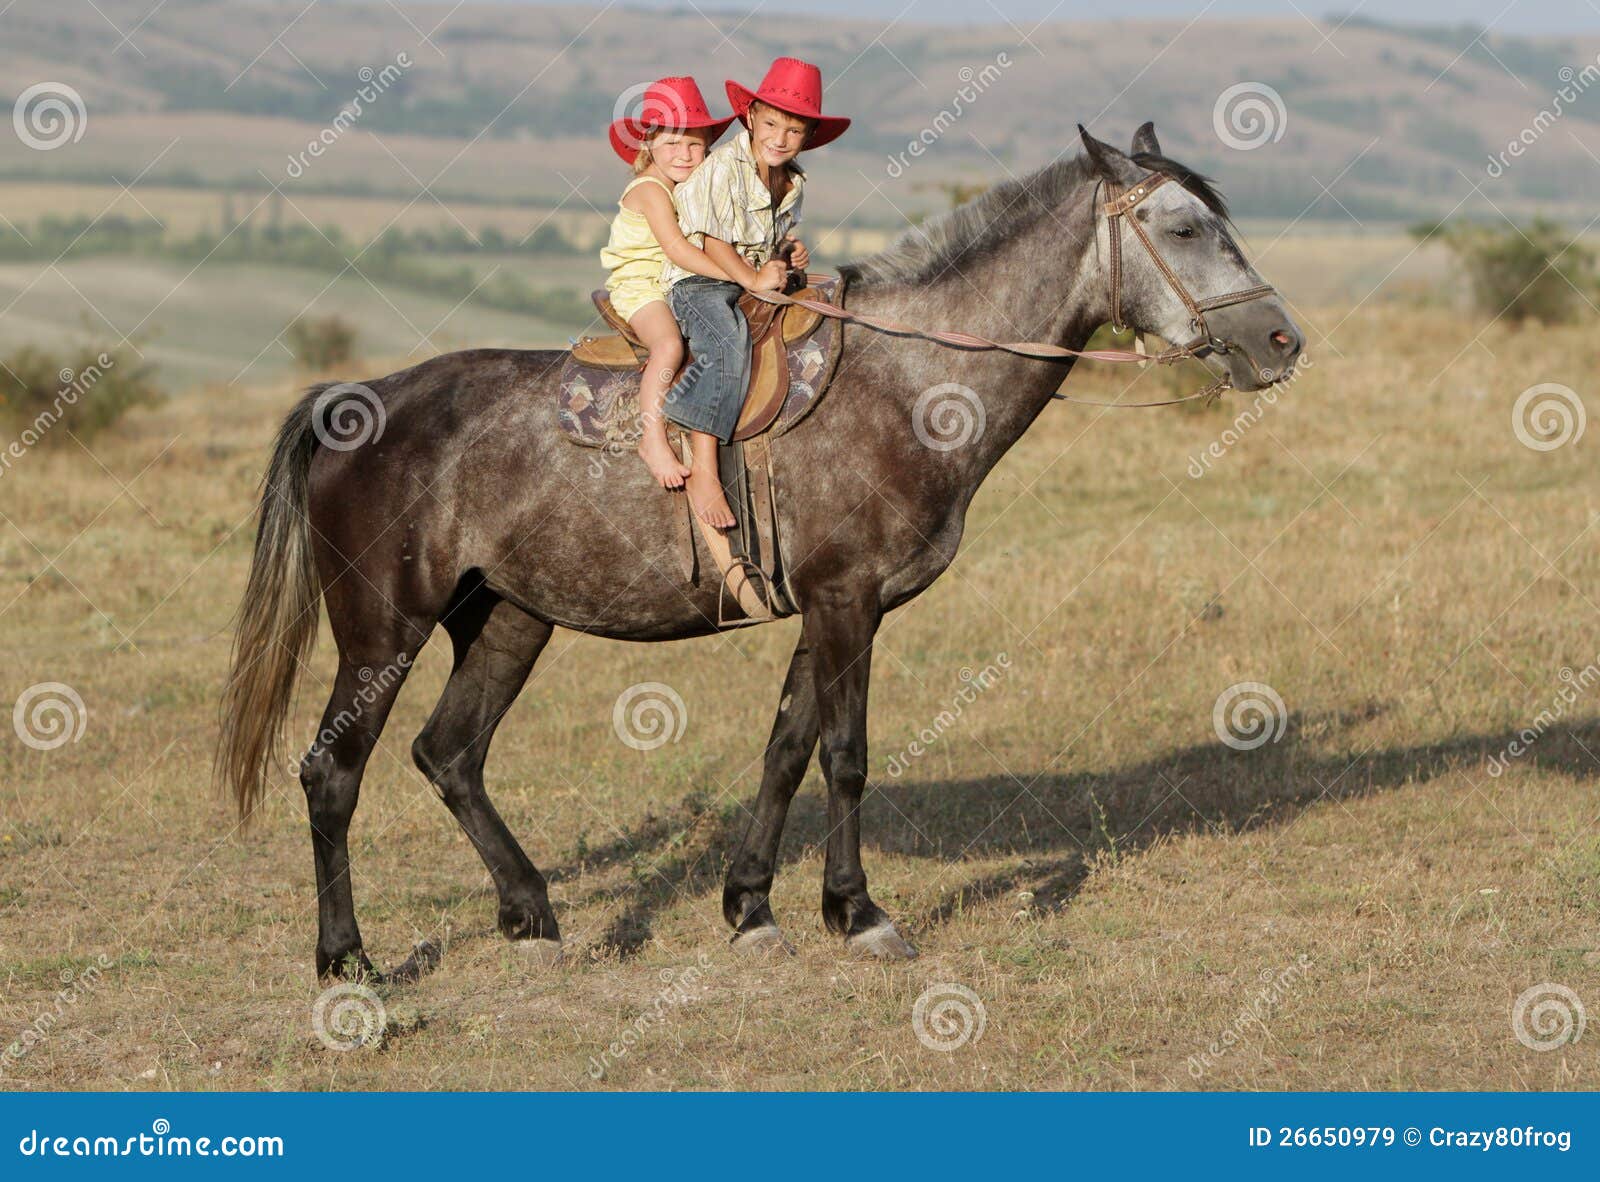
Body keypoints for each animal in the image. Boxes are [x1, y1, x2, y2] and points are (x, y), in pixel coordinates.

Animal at [217, 124, 1303, 979]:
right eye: (1183, 228)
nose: (1282, 342)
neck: (915, 383)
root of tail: (358, 403)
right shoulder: (847, 602)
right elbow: (845, 756)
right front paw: (858, 914)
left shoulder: (829, 607)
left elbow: (785, 749)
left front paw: (750, 908)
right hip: (382, 631)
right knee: (332, 772)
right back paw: (345, 959)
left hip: (509, 620)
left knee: (449, 754)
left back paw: (531, 917)